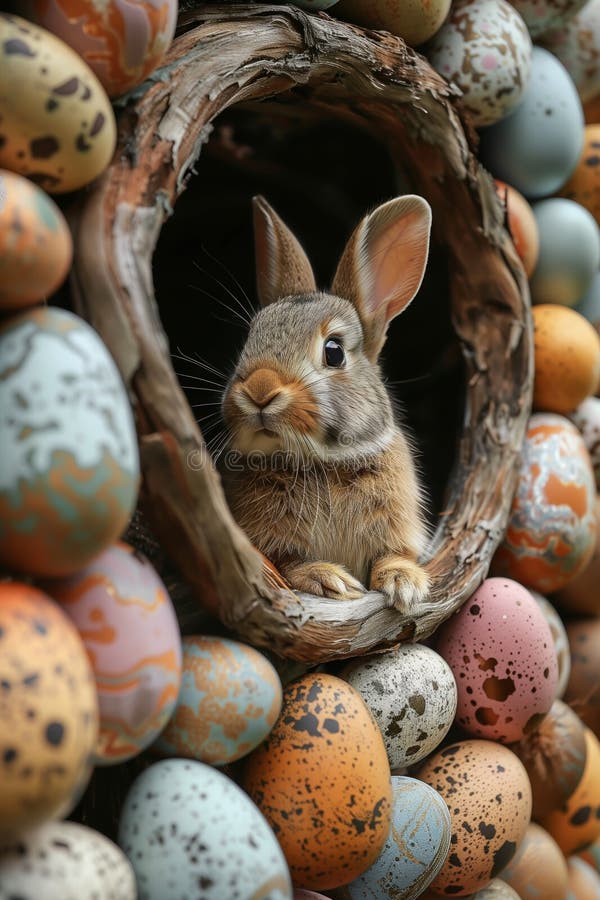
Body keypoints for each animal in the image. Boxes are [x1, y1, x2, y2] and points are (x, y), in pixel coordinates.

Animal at [220, 193, 432, 613]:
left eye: (333, 351)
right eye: (250, 339)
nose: (260, 389)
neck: (324, 463)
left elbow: (392, 554)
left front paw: (405, 584)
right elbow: (290, 564)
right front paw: (331, 579)